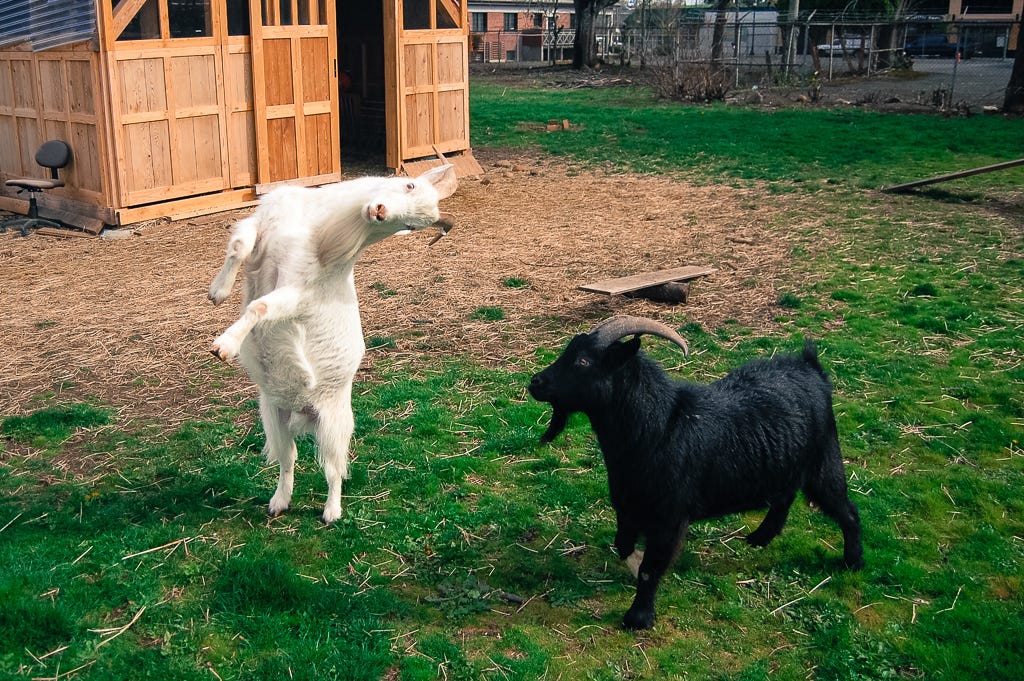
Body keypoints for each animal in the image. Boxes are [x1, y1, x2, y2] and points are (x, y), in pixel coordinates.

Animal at [208, 164, 458, 523]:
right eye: (409, 185)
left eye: (413, 225)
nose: (379, 212)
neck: (318, 224)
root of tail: (303, 412)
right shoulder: (264, 221)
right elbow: (240, 246)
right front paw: (218, 292)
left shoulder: (298, 291)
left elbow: (261, 306)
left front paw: (224, 346)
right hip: (273, 414)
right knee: (289, 459)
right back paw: (278, 503)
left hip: (335, 421)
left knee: (333, 469)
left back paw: (331, 512)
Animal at [528, 315, 863, 630]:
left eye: (583, 361)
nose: (536, 382)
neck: (659, 427)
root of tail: (811, 367)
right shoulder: (627, 504)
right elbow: (623, 544)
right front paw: (633, 566)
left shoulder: (671, 516)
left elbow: (651, 568)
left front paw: (638, 618)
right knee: (784, 497)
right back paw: (759, 538)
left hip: (823, 461)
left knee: (847, 511)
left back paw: (853, 562)